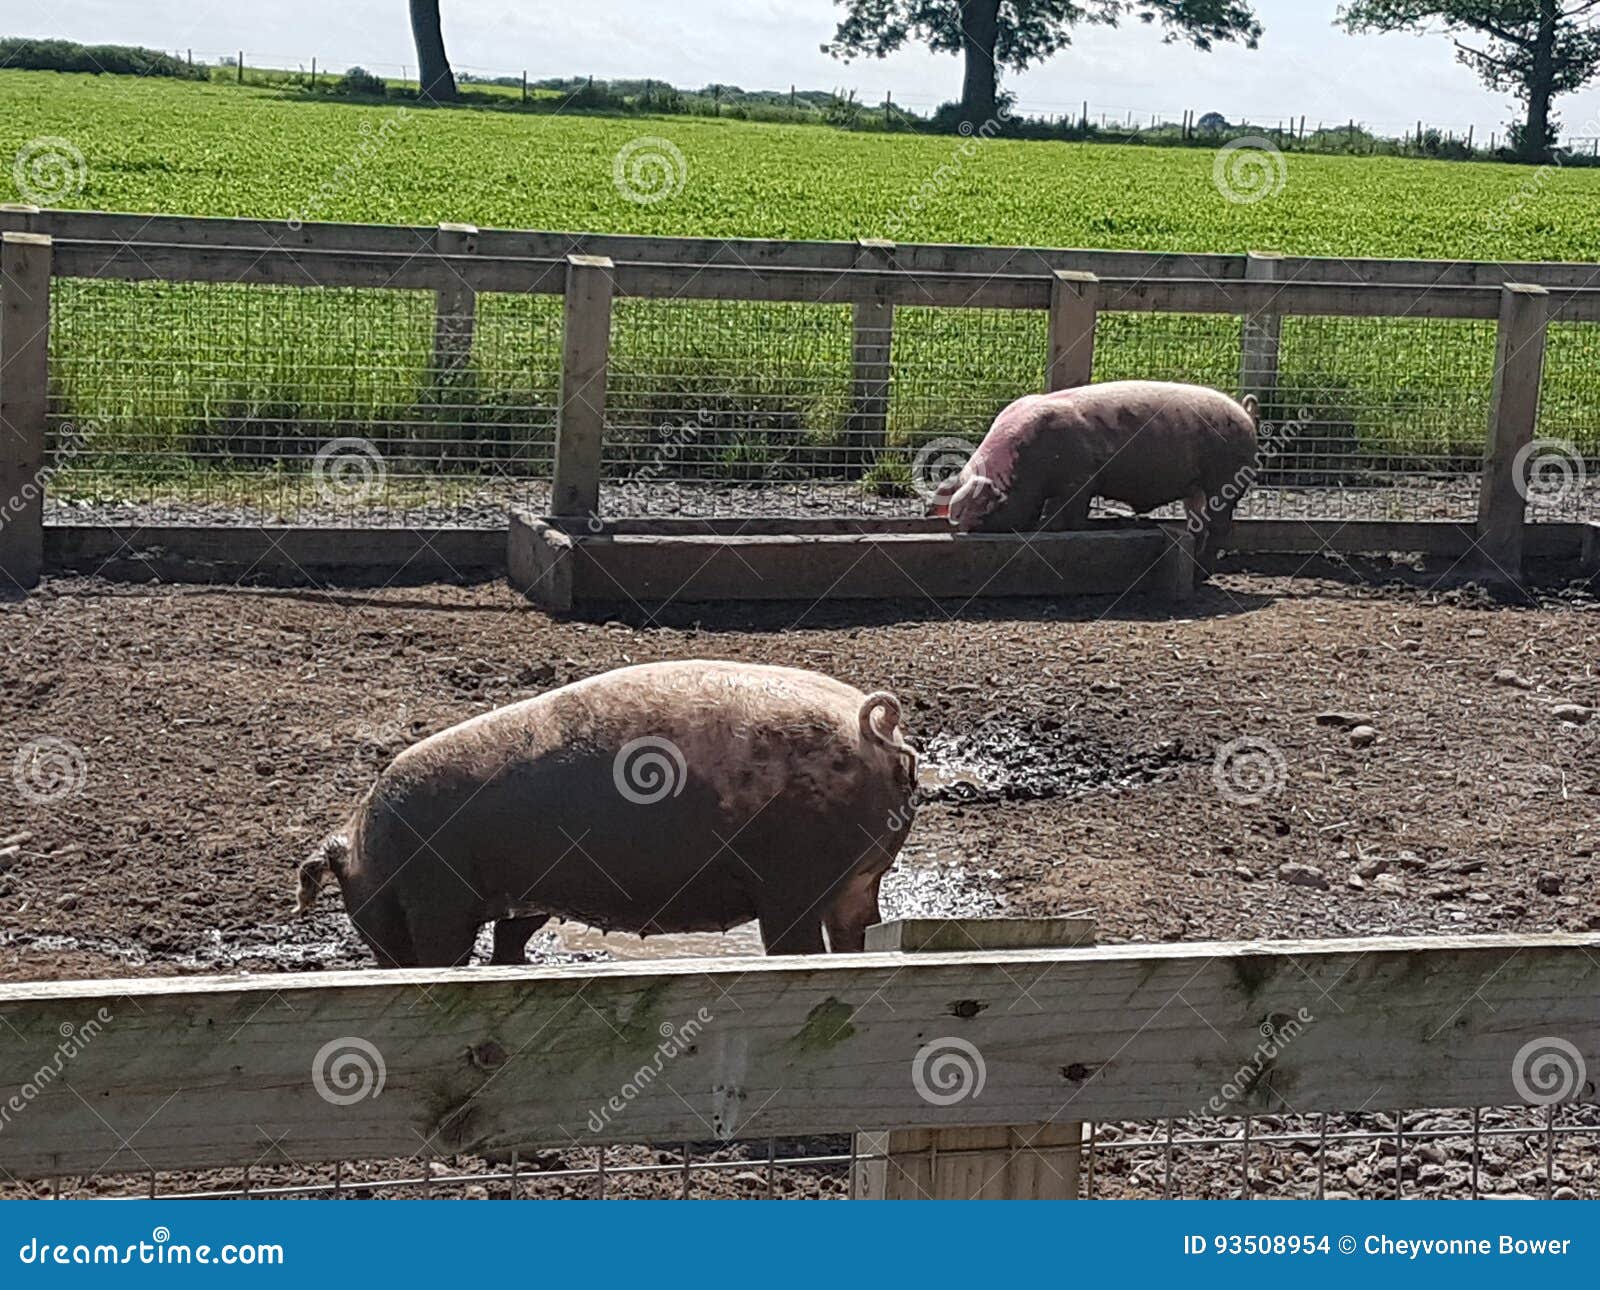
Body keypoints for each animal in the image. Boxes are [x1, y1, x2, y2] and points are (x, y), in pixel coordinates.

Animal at [295, 660, 918, 965]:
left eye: (350, 896)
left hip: (792, 882)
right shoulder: (531, 893)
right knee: (856, 936)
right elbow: (511, 939)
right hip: (861, 879)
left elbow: (448, 954)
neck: (374, 851)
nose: (385, 968)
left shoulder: (436, 899)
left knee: (801, 950)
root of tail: (876, 730)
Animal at [929, 380, 1260, 573]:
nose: (966, 532)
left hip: (1225, 478)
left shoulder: (1081, 478)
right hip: (1195, 490)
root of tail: (1244, 414)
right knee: (1199, 524)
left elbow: (1069, 517)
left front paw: (1054, 529)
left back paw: (1206, 569)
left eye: (985, 510)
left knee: (1220, 526)